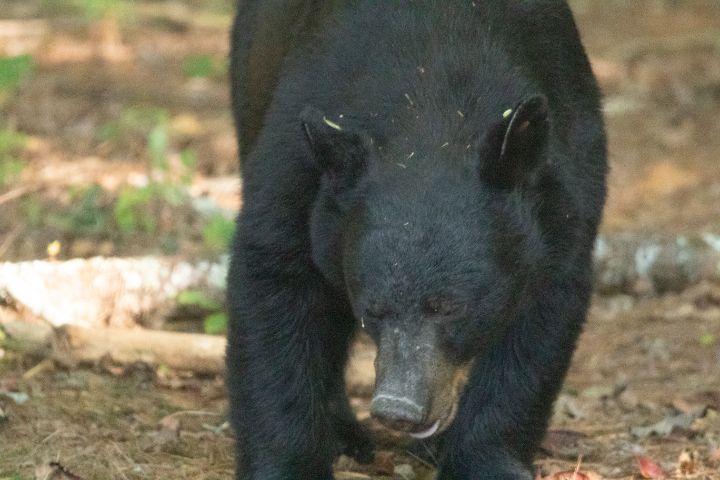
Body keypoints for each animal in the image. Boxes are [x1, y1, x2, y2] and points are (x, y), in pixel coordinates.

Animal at [225, 1, 607, 479]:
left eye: (450, 307)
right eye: (372, 310)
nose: (398, 407)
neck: (431, 101)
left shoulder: (566, 180)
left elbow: (539, 319)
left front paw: (486, 460)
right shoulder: (296, 159)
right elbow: (275, 282)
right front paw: (289, 462)